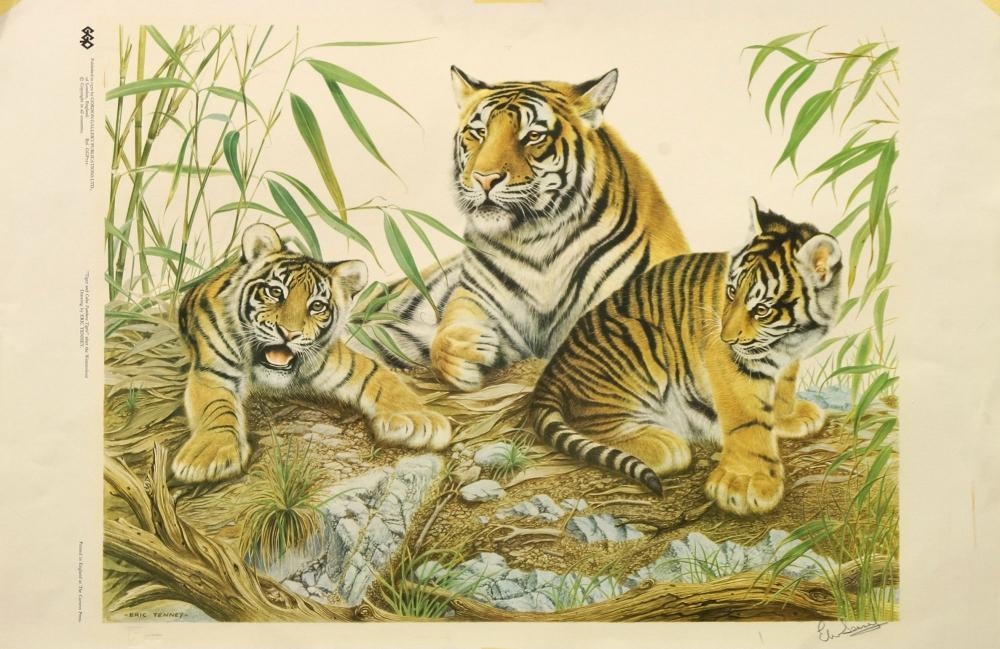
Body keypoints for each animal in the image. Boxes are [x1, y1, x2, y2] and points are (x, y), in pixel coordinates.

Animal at [171, 223, 451, 484]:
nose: (289, 333)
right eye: (275, 292)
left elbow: (384, 379)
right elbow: (216, 406)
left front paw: (418, 420)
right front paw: (209, 455)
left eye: (317, 306)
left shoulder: (341, 361)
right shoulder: (212, 372)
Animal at [372, 67, 689, 391]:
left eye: (533, 136)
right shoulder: (475, 294)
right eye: (479, 132)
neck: (538, 238)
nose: (484, 179)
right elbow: (448, 331)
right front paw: (467, 350)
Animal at [529, 200, 842, 515]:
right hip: (639, 341)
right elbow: (747, 419)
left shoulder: (788, 358)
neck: (789, 338)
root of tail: (553, 370)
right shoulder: (732, 364)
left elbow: (784, 387)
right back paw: (665, 445)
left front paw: (787, 418)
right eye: (731, 291)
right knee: (593, 422)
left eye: (762, 310)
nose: (726, 338)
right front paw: (744, 483)